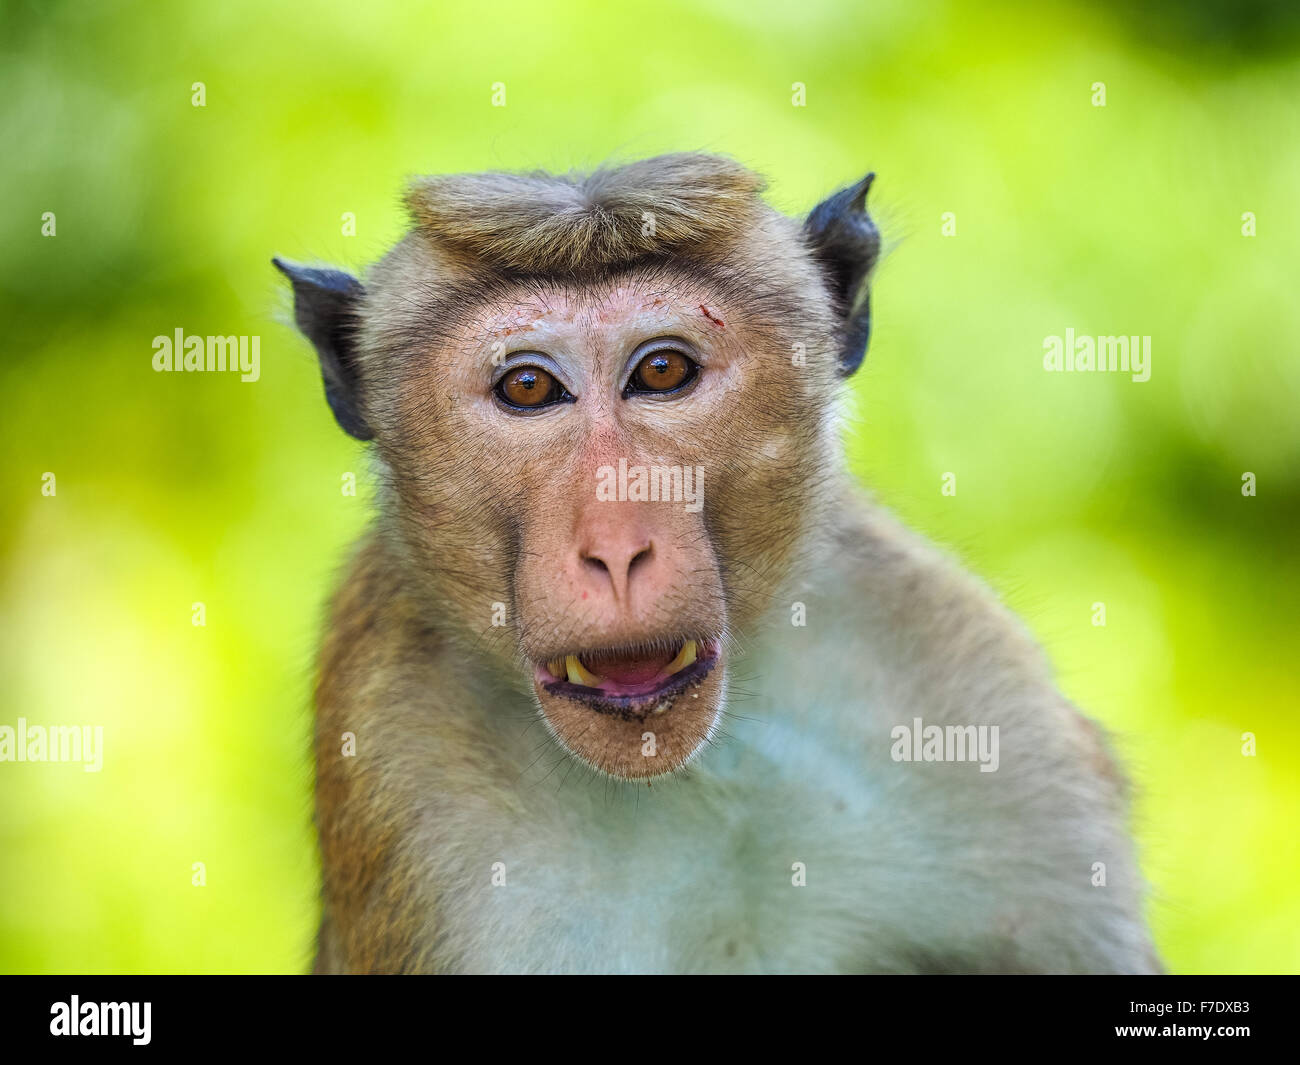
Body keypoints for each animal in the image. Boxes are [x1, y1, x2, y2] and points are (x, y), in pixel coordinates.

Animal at [274, 152, 1161, 974]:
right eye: (527, 387)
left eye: (663, 371)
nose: (616, 547)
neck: (706, 763)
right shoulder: (406, 763)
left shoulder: (965, 680)